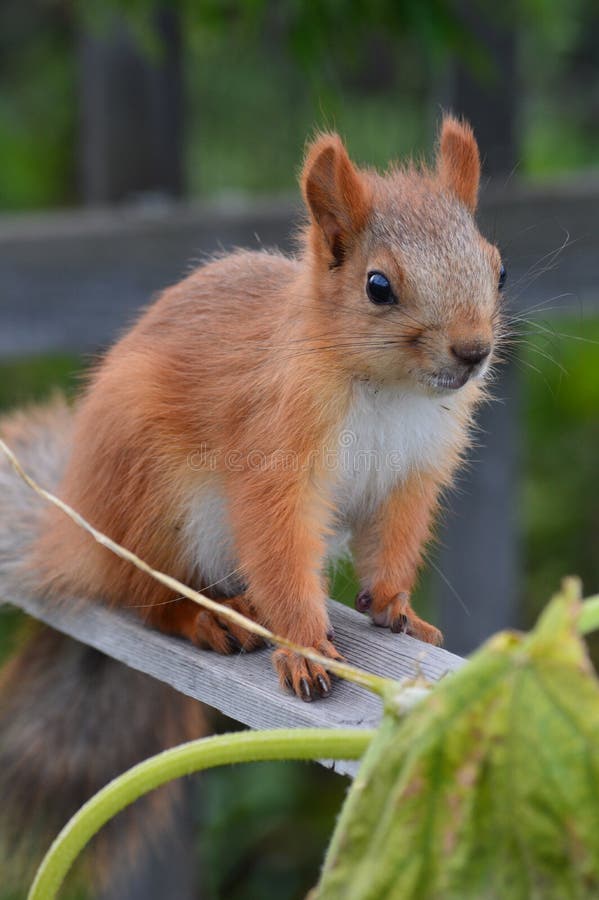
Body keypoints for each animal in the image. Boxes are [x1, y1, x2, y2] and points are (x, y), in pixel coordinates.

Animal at [0, 116, 503, 885]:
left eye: (497, 266)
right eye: (378, 285)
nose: (473, 351)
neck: (387, 390)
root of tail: (77, 538)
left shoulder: (410, 473)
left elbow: (393, 541)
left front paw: (396, 609)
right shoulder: (271, 455)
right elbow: (279, 546)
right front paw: (302, 647)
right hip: (151, 504)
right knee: (146, 598)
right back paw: (209, 619)